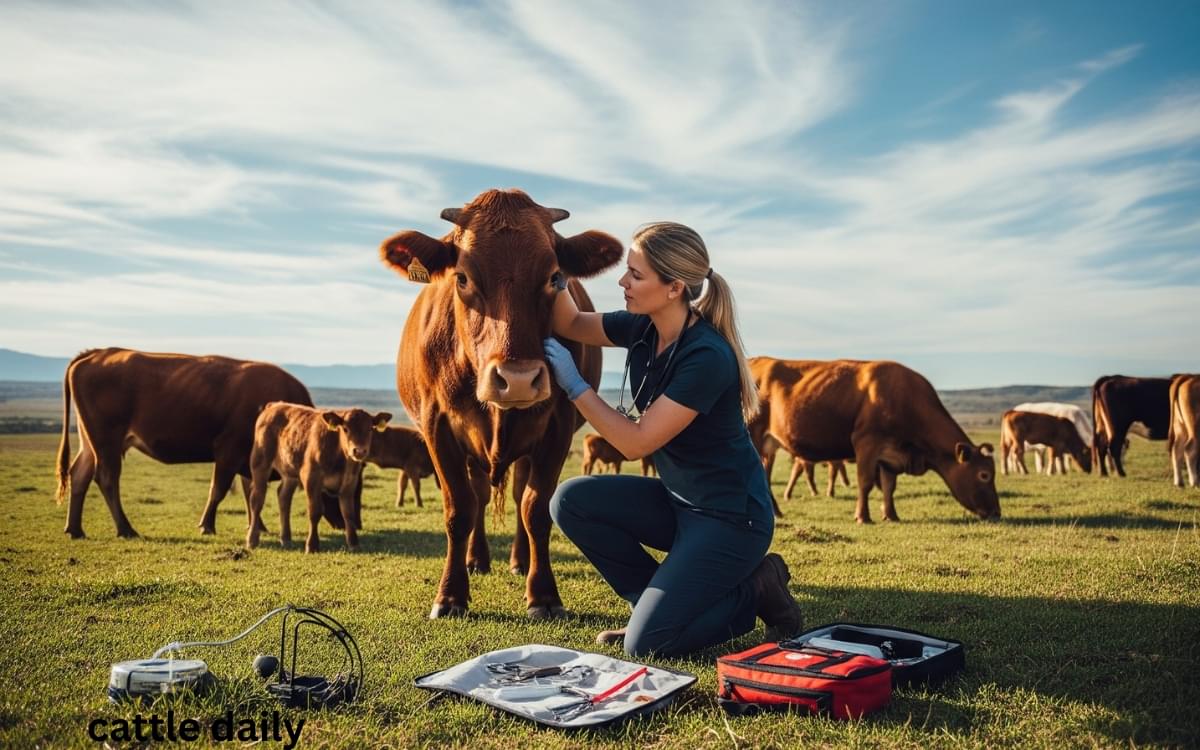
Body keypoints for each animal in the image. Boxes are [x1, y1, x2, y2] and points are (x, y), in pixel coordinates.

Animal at [54, 348, 340, 539]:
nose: (345, 523)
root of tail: (96, 354)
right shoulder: (228, 453)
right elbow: (219, 490)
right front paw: (207, 525)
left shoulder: (249, 460)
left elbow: (251, 492)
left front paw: (257, 526)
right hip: (107, 444)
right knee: (107, 479)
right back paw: (126, 528)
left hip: (91, 444)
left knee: (79, 475)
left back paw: (75, 529)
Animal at [245, 403, 390, 552]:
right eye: (345, 429)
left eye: (370, 429)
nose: (359, 451)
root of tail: (275, 405)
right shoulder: (311, 478)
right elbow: (315, 511)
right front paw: (312, 545)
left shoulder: (349, 483)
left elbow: (348, 513)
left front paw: (354, 544)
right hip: (260, 463)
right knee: (257, 499)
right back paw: (252, 540)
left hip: (290, 472)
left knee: (284, 498)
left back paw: (286, 539)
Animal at [380, 188, 622, 619]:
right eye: (462, 277)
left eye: (554, 277)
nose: (518, 379)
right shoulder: (437, 426)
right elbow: (459, 509)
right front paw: (450, 596)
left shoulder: (558, 427)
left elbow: (535, 508)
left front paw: (543, 595)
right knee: (477, 495)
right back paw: (476, 559)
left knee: (518, 492)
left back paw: (519, 561)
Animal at [748, 357, 999, 524]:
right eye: (984, 475)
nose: (997, 512)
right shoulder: (866, 444)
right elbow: (866, 482)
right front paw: (863, 516)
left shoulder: (890, 455)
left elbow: (889, 486)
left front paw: (891, 515)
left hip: (768, 446)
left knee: (765, 477)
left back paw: (776, 512)